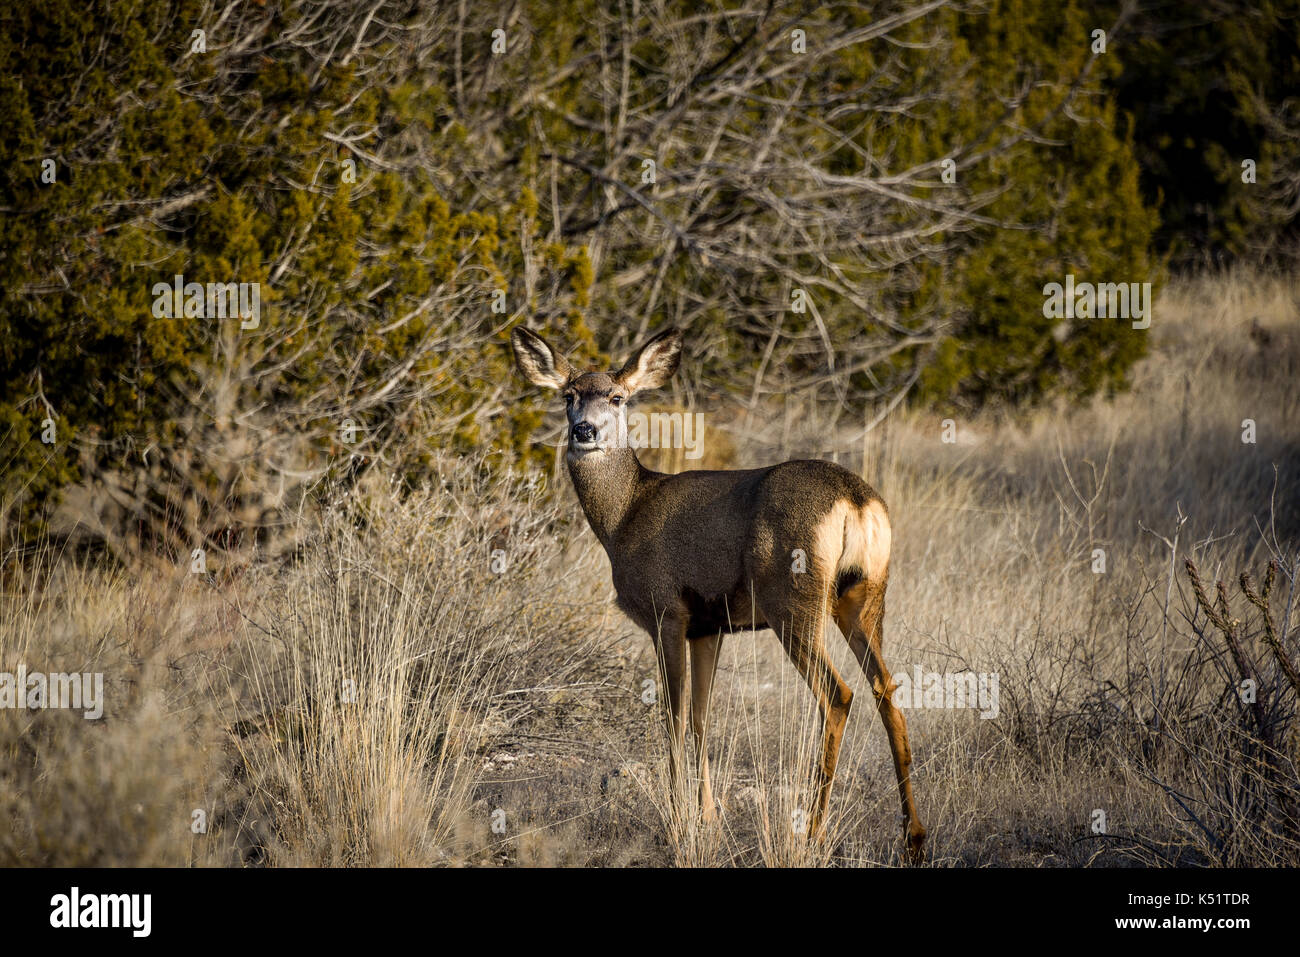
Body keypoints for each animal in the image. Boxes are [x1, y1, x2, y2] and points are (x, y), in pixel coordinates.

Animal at [510, 324, 926, 863]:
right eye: (568, 396)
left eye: (618, 397)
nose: (585, 431)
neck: (624, 516)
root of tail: (855, 501)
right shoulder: (709, 626)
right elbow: (702, 719)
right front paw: (708, 817)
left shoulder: (666, 611)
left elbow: (673, 717)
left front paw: (678, 820)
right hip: (864, 597)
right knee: (886, 690)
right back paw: (914, 837)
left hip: (793, 600)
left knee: (839, 694)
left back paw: (813, 834)